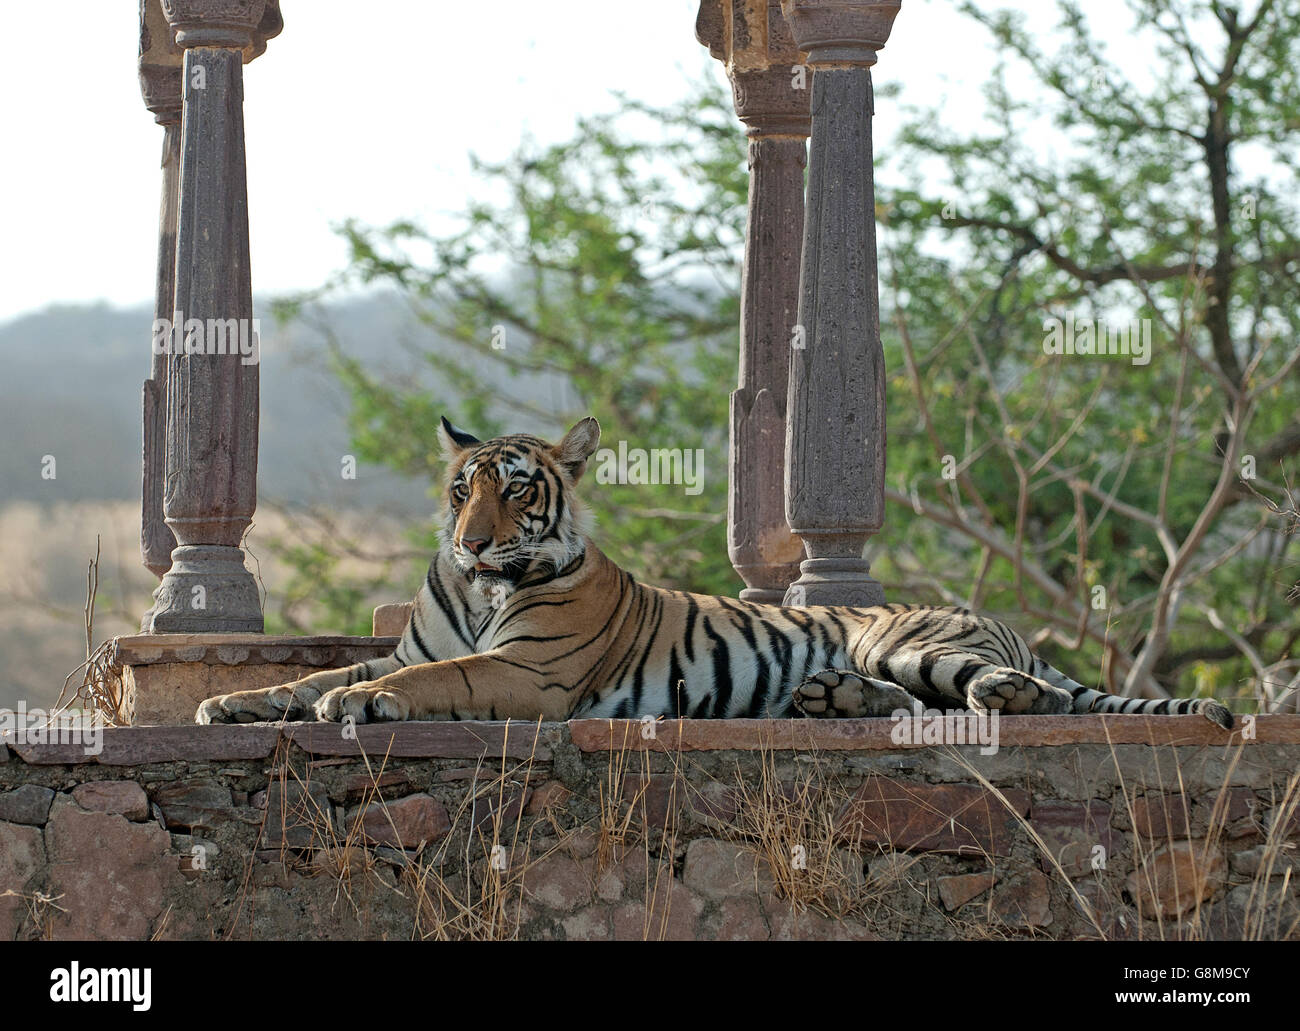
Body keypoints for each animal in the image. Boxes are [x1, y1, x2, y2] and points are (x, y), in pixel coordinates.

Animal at [195, 417, 1234, 730]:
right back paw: (831, 700)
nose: (475, 543)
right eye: (461, 489)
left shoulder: (525, 671)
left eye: (517, 489)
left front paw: (359, 706)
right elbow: (323, 672)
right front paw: (234, 702)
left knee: (1015, 694)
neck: (485, 587)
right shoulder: (409, 646)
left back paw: (1001, 696)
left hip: (910, 642)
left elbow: (428, 677)